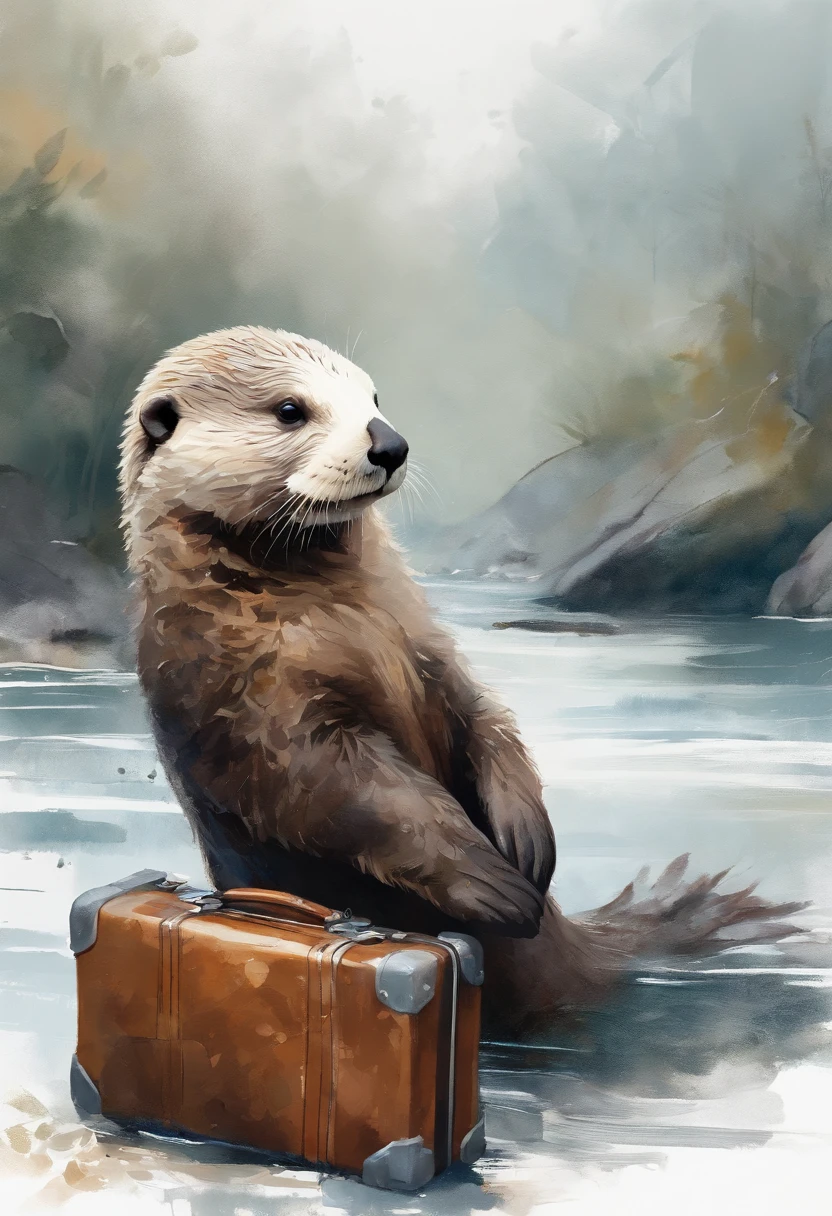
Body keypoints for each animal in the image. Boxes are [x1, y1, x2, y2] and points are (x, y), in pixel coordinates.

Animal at [120, 326, 802, 1033]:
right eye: (290, 410)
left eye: (372, 396)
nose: (390, 443)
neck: (333, 618)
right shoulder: (248, 705)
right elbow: (343, 793)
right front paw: (494, 884)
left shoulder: (430, 648)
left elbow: (484, 715)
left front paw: (529, 837)